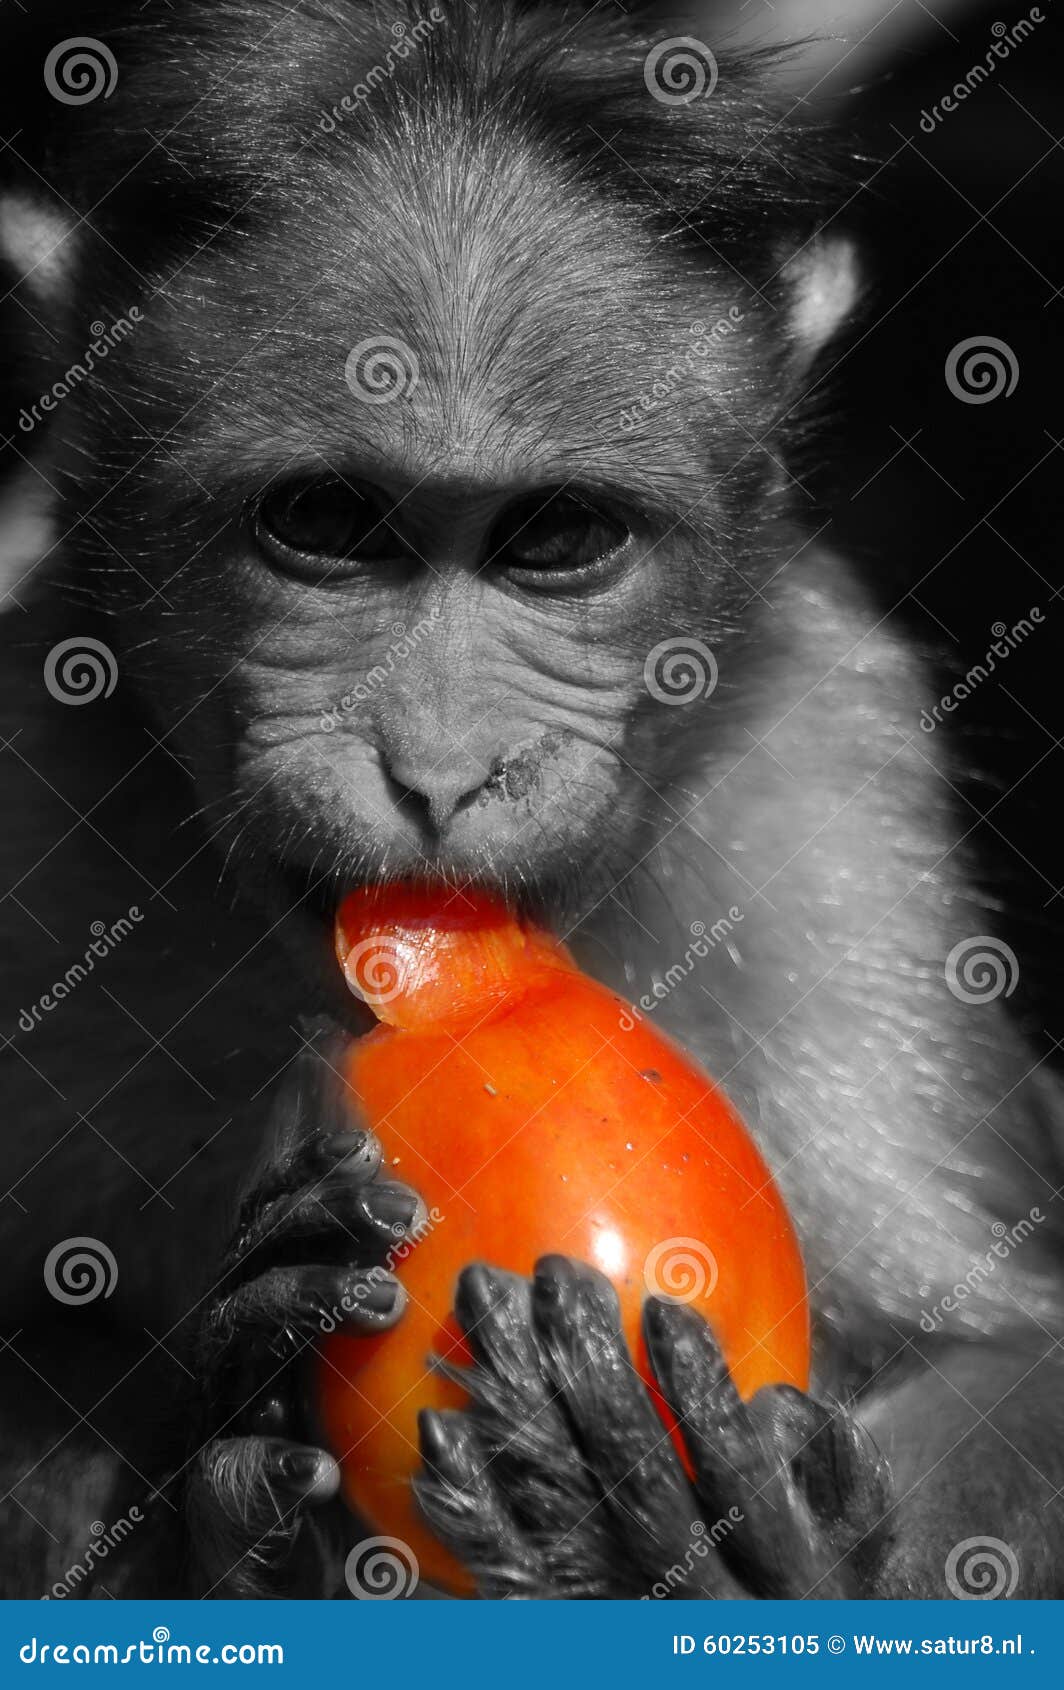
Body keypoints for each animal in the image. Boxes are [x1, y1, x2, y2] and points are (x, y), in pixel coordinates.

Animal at [1, 0, 1062, 1601]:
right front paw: (229, 1469)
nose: (439, 771)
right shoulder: (26, 786)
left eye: (555, 538)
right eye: (326, 523)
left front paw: (743, 1553)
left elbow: (999, 1350)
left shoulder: (827, 769)